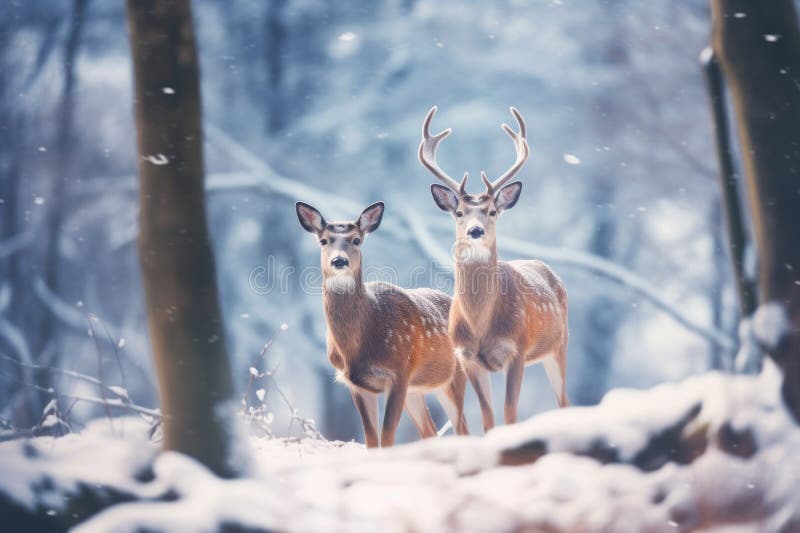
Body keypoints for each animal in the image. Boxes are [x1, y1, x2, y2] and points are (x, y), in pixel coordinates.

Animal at [295, 200, 470, 447]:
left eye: (356, 240)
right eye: (324, 240)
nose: (339, 261)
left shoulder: (398, 373)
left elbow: (387, 436)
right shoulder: (356, 384)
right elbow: (371, 437)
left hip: (454, 377)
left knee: (463, 428)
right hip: (417, 389)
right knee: (430, 431)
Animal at [418, 106, 569, 432]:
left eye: (491, 211)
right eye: (459, 212)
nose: (475, 231)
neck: (481, 326)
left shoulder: (517, 350)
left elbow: (510, 413)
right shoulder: (468, 358)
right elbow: (488, 419)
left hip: (559, 345)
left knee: (564, 401)